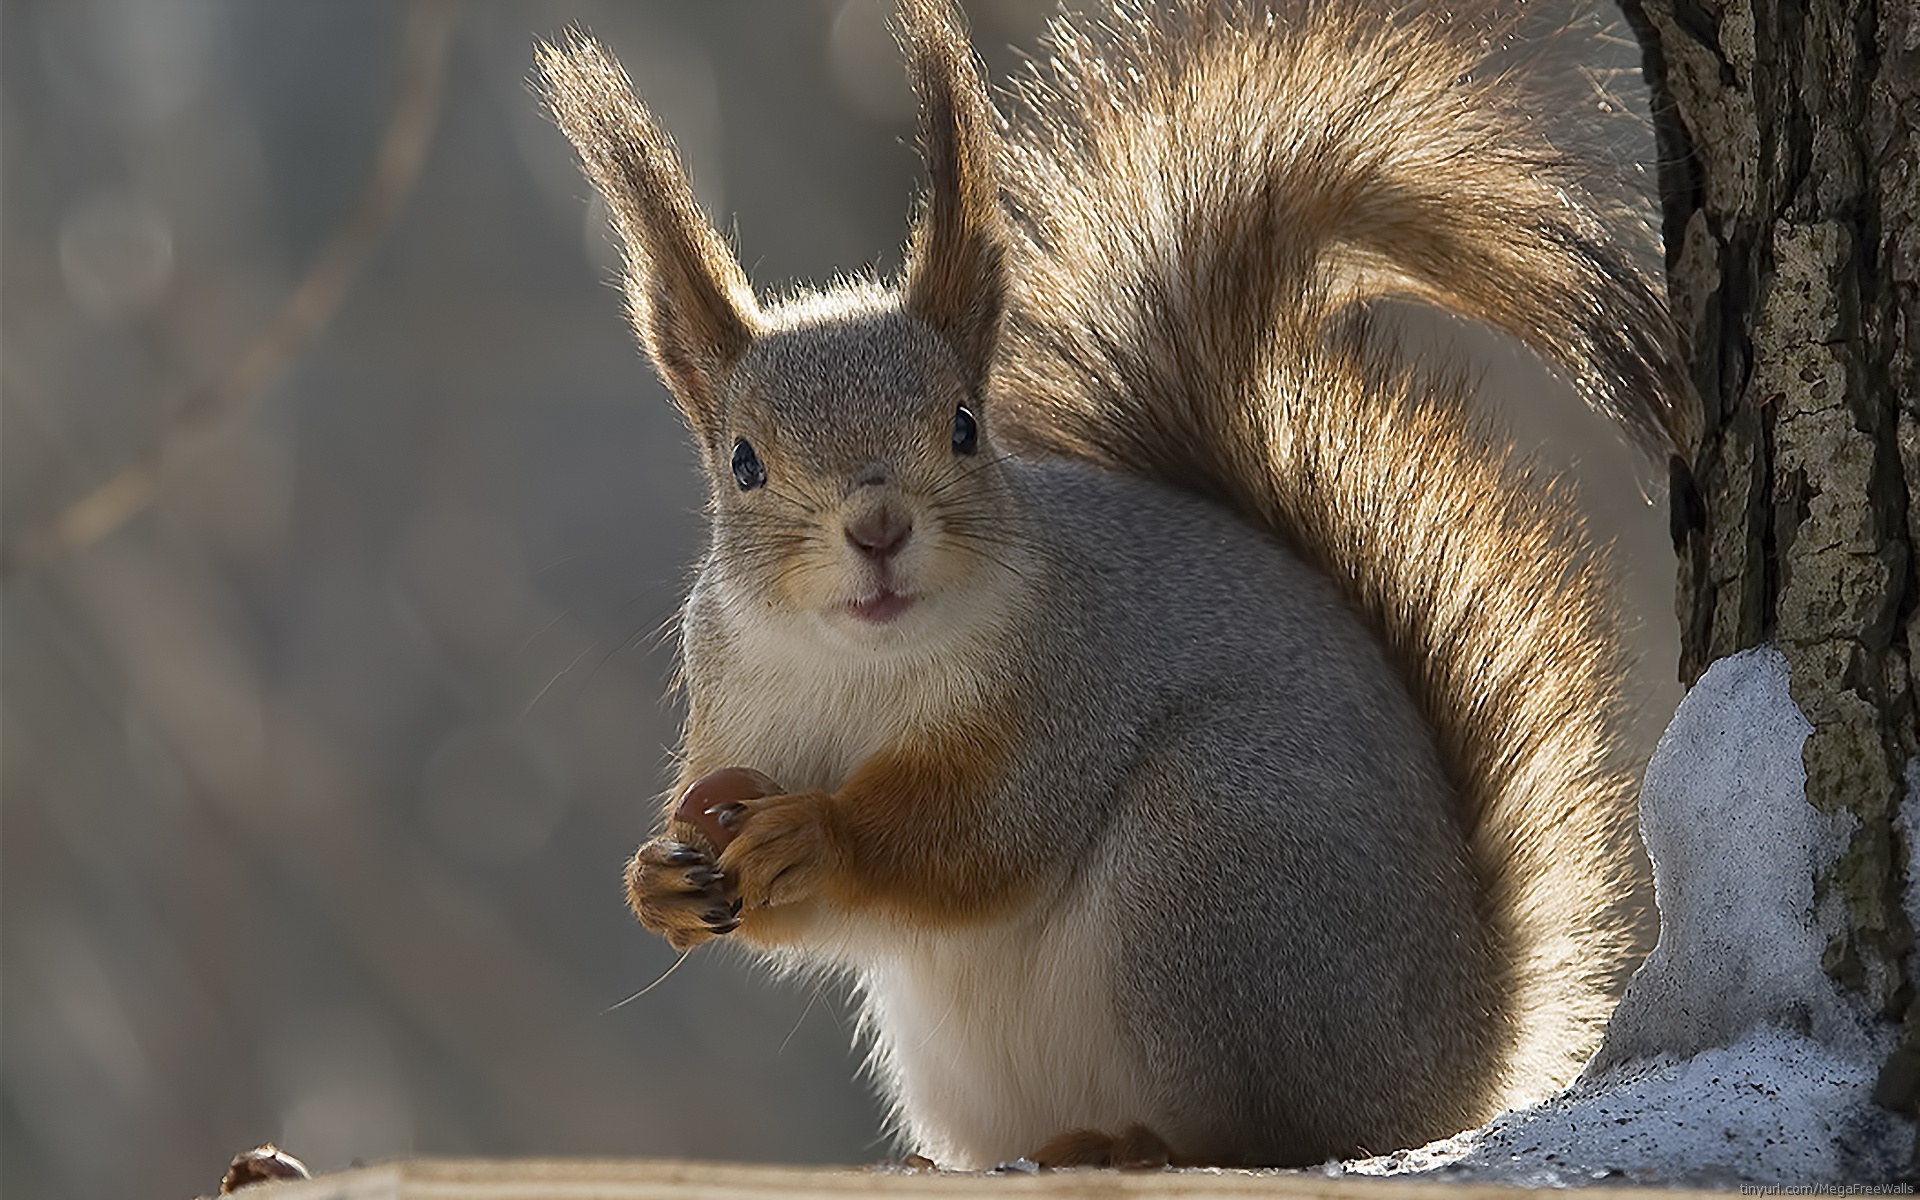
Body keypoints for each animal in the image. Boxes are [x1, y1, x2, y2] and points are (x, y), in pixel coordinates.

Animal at [538, 0, 1686, 1170]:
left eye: (965, 426)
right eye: (743, 462)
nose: (877, 527)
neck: (864, 665)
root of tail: (1466, 1055)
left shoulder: (1068, 686)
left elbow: (983, 837)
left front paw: (822, 834)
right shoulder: (738, 711)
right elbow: (804, 915)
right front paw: (659, 882)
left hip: (1215, 857)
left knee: (1276, 1127)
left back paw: (1134, 1144)